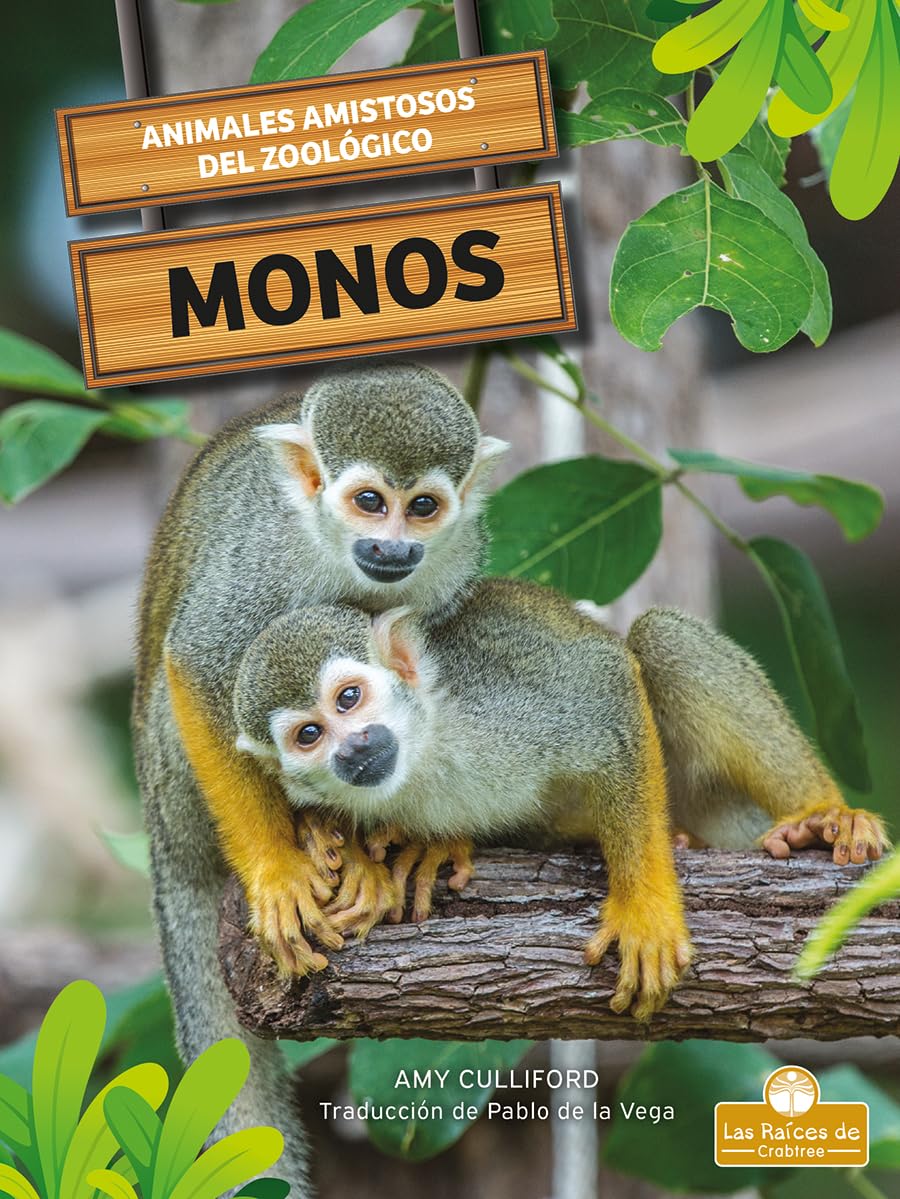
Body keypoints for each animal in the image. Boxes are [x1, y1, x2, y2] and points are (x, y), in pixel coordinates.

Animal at [132, 363, 508, 1193]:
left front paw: (415, 840)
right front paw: (276, 869)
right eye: (369, 501)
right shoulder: (262, 556)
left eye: (422, 506)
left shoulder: (455, 554)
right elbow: (197, 663)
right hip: (173, 786)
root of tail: (161, 839)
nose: (392, 546)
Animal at [233, 580, 695, 1022]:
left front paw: (643, 910)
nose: (353, 747)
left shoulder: (502, 700)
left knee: (661, 635)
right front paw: (348, 855)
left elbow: (607, 685)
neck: (425, 750)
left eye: (349, 698)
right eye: (309, 735)